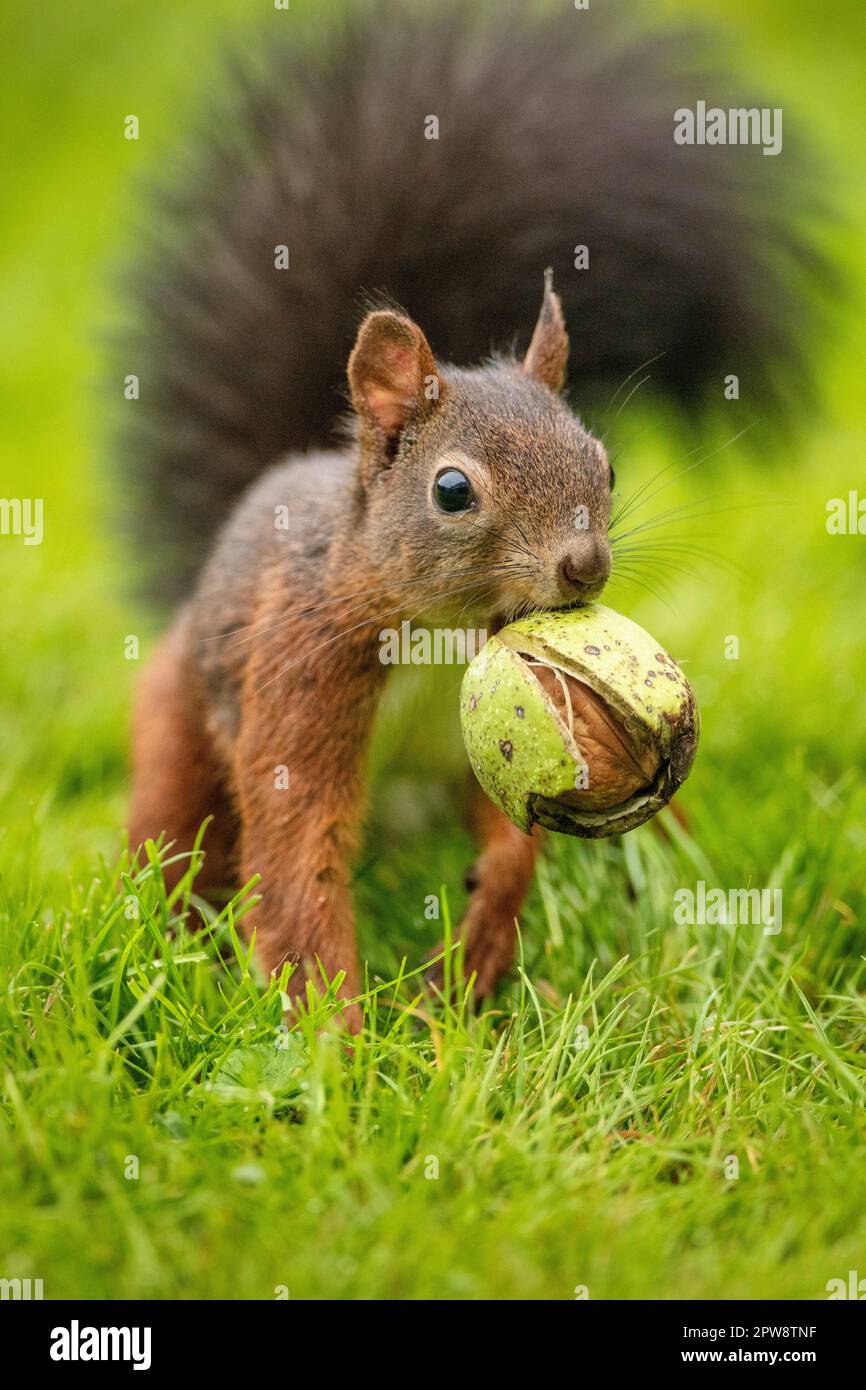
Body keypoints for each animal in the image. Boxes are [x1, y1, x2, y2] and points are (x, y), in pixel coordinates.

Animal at [122, 0, 817, 1031]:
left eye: (606, 464)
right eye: (452, 491)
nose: (584, 566)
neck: (436, 630)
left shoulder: (498, 731)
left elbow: (516, 825)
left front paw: (485, 932)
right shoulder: (300, 671)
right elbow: (298, 848)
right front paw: (335, 1034)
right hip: (180, 717)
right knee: (173, 827)